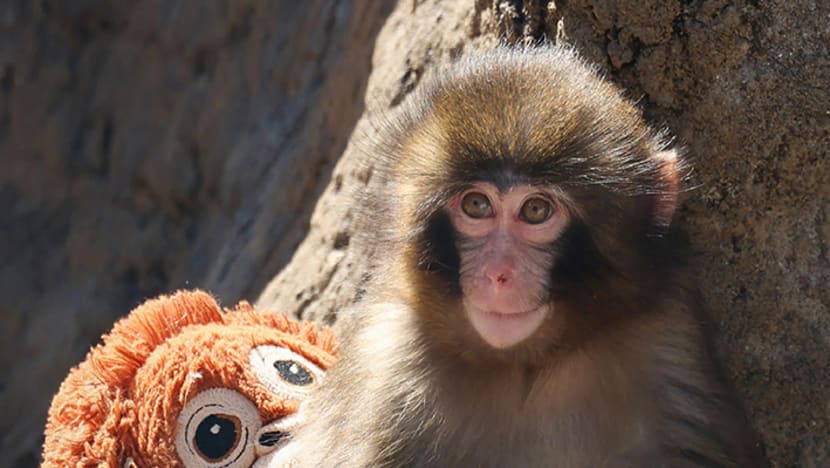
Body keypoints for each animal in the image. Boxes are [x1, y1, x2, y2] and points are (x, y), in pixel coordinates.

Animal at [284, 46, 765, 468]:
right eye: (476, 205)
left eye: (536, 210)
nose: (498, 274)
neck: (523, 366)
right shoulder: (386, 363)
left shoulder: (668, 346)